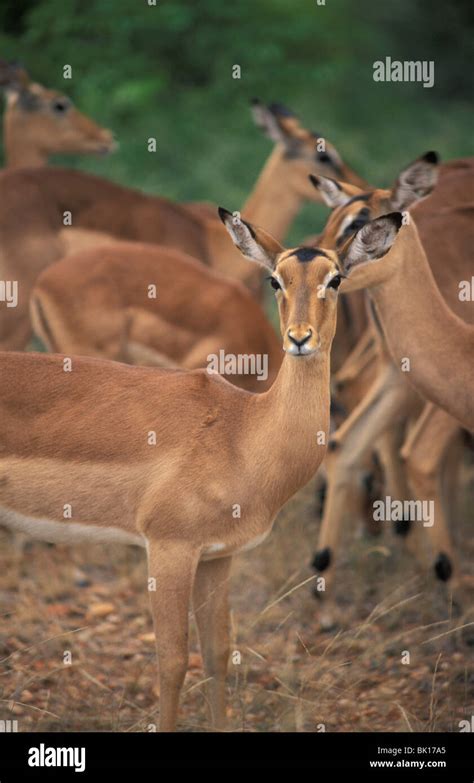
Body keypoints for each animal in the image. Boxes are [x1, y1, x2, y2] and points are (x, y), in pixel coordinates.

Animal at [0, 208, 402, 731]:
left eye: (335, 278)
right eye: (275, 279)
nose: (300, 339)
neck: (243, 432)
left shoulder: (216, 557)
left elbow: (216, 654)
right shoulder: (169, 548)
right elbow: (172, 661)